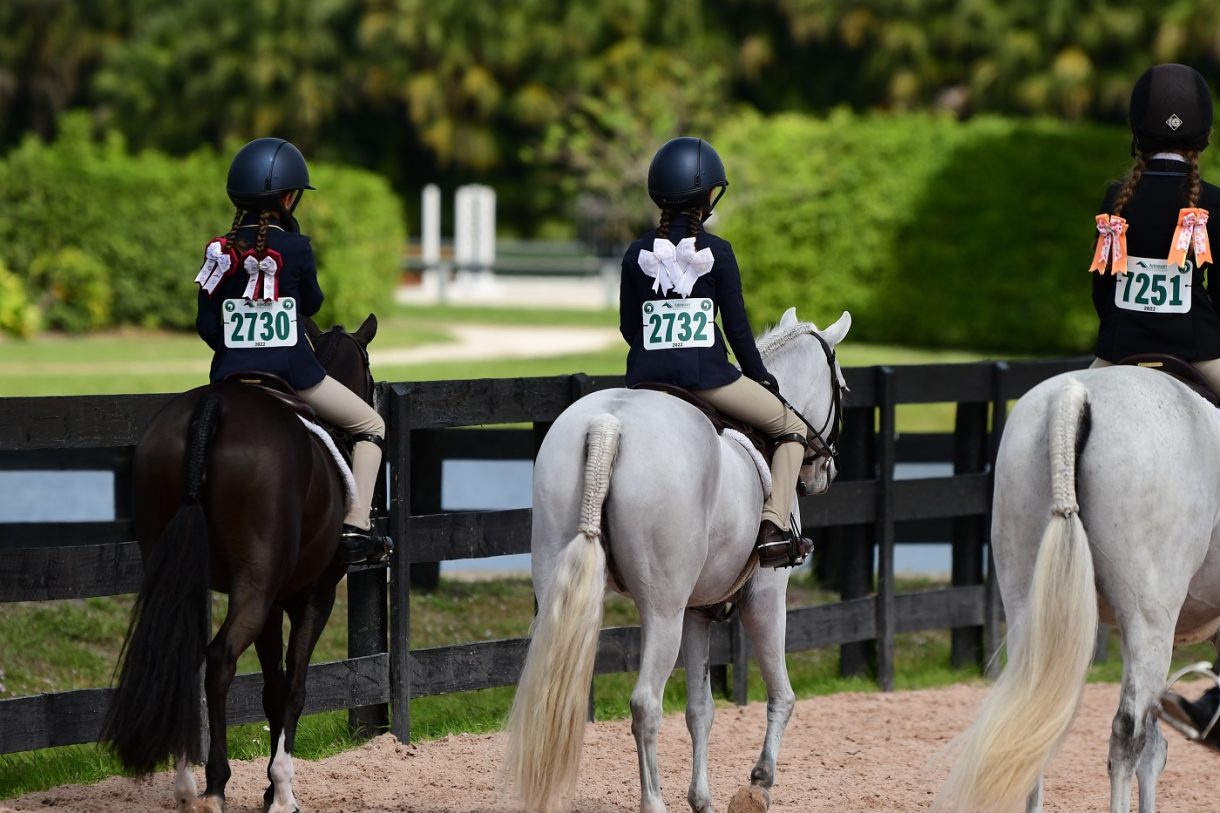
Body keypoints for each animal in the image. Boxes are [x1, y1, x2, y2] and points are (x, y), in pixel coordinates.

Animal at [101, 314, 379, 813]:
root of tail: (212, 408)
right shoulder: (315, 595)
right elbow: (294, 688)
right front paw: (281, 792)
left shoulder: (273, 603)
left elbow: (272, 691)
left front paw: (271, 788)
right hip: (254, 588)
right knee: (219, 659)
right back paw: (214, 784)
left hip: (185, 576)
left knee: (184, 659)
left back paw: (186, 785)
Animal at [504, 307, 851, 813]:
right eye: (842, 386)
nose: (826, 472)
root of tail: (610, 423)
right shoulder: (764, 596)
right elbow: (781, 694)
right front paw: (760, 781)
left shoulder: (697, 611)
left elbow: (700, 709)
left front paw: (702, 799)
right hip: (662, 610)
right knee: (646, 703)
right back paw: (654, 802)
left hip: (560, 588)